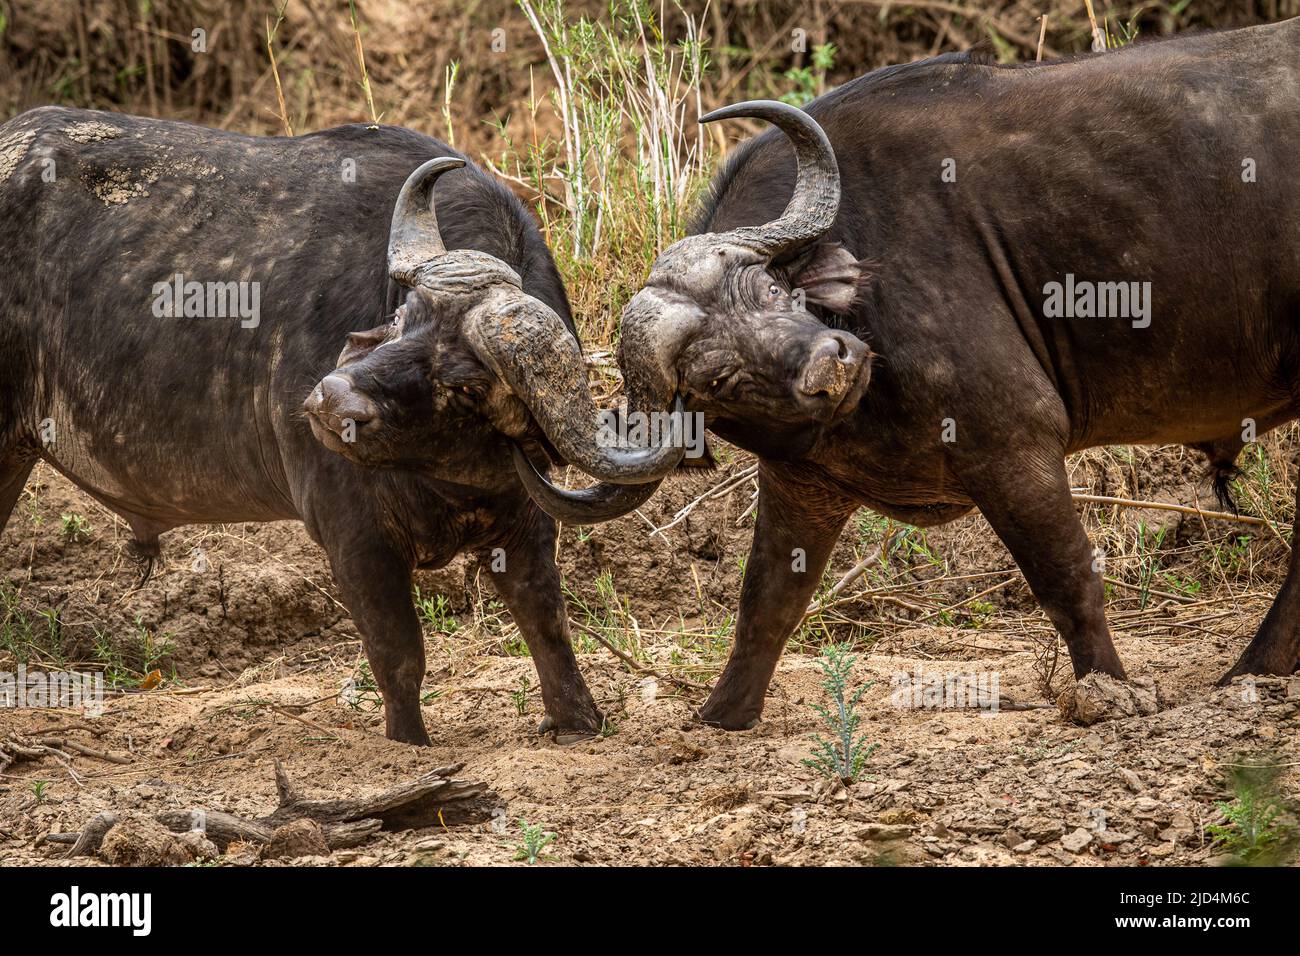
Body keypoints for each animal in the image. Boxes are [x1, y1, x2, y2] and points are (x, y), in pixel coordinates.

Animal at [0, 107, 679, 745]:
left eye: (467, 383)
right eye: (402, 320)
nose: (332, 399)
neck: (438, 478)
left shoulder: (525, 520)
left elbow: (546, 620)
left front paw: (578, 720)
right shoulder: (352, 536)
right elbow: (398, 654)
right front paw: (409, 743)